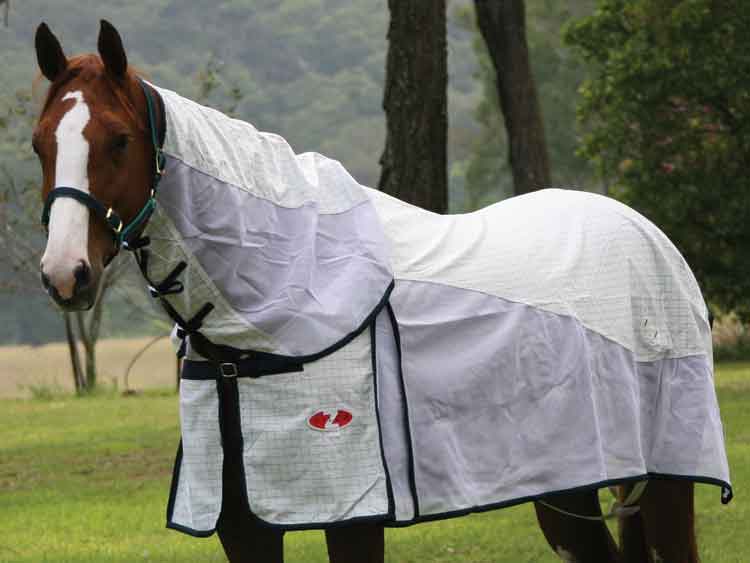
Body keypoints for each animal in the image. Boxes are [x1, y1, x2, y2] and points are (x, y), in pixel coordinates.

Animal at [32, 20, 731, 563]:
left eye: (119, 140)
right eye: (40, 144)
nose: (67, 274)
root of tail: (647, 233)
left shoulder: (354, 514)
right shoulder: (243, 525)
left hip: (665, 481)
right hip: (569, 483)